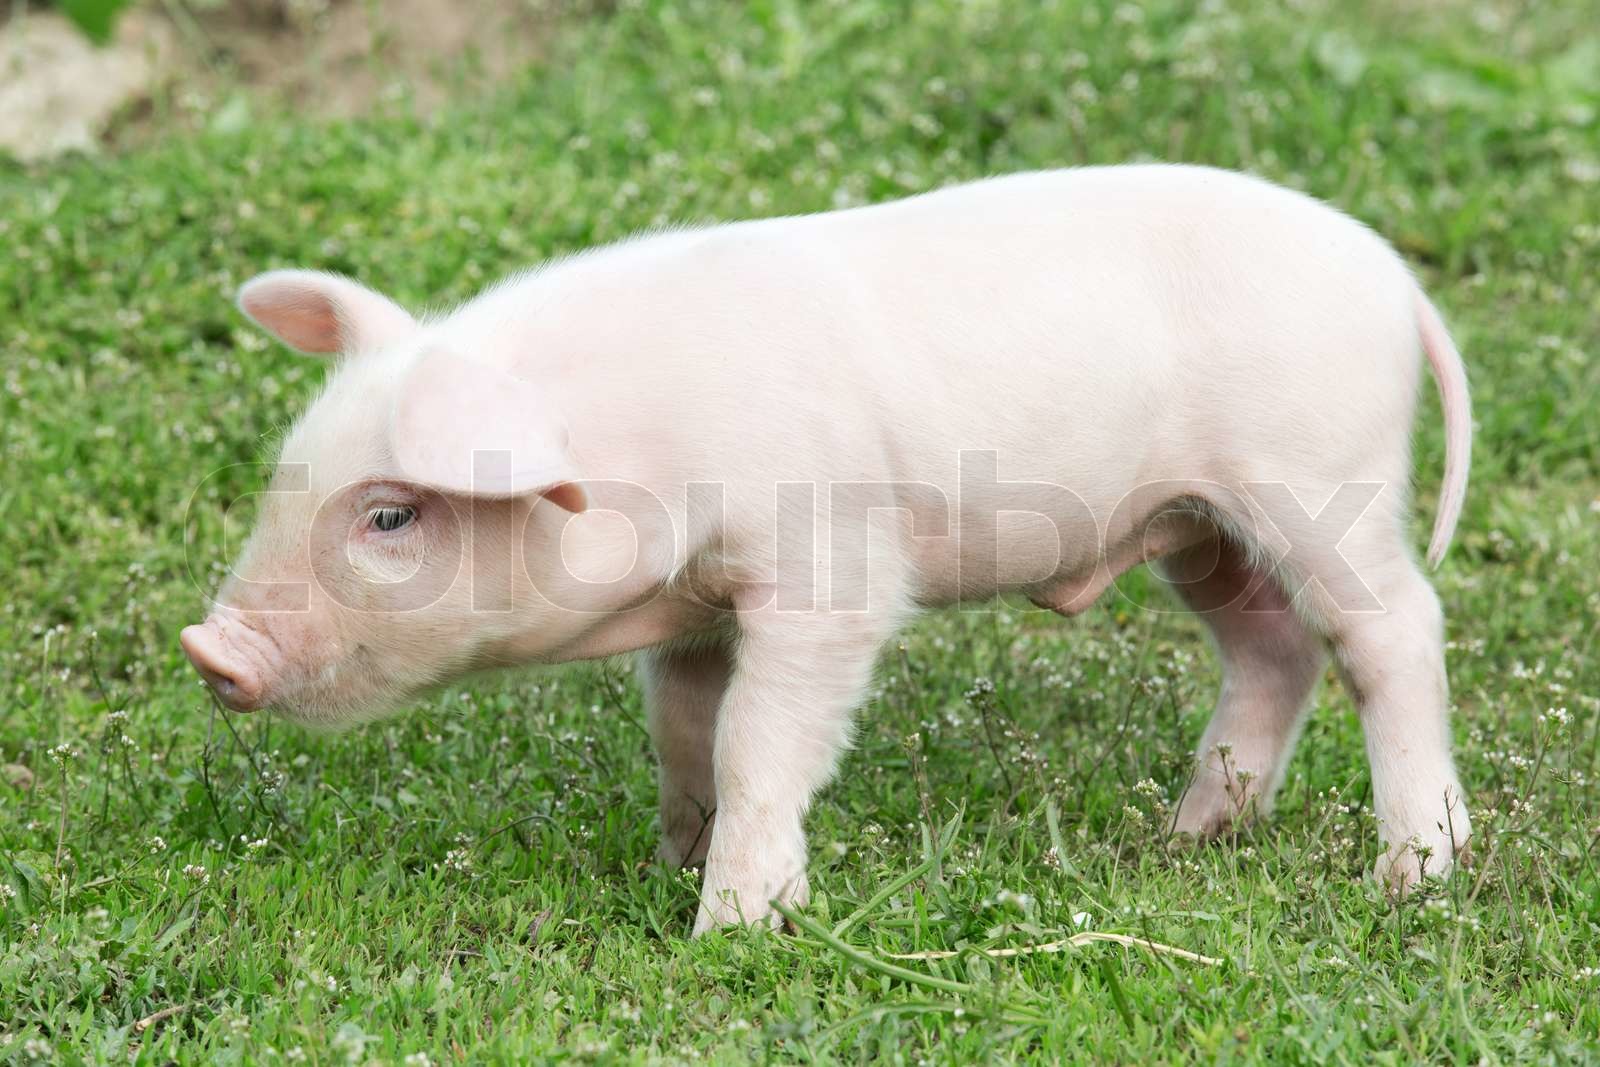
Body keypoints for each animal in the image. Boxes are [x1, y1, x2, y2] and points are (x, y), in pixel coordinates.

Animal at [182, 164, 1473, 934]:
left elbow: (758, 731)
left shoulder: (829, 569)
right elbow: (683, 724)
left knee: (1391, 628)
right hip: (1197, 526)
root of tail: (1388, 273)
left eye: (391, 515)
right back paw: (1188, 832)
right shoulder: (699, 605)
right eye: (286, 478)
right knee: (1272, 646)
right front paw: (671, 861)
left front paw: (733, 923)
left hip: (1321, 475)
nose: (209, 645)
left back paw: (1414, 874)